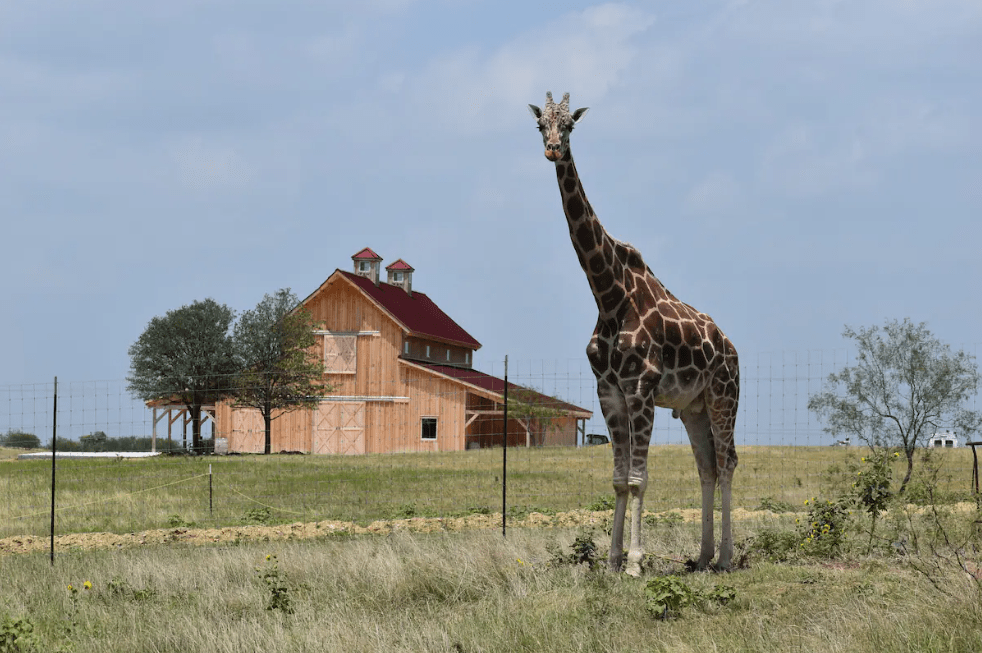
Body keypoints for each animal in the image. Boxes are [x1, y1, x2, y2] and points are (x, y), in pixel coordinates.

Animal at [528, 92, 740, 574]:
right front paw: (611, 560)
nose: (552, 149)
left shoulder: (641, 388)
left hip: (724, 396)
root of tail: (732, 347)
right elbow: (619, 479)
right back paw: (702, 556)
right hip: (694, 407)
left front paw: (636, 562)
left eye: (570, 125)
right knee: (707, 467)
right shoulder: (609, 391)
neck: (609, 296)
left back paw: (725, 557)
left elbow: (639, 479)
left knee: (727, 462)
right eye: (540, 125)